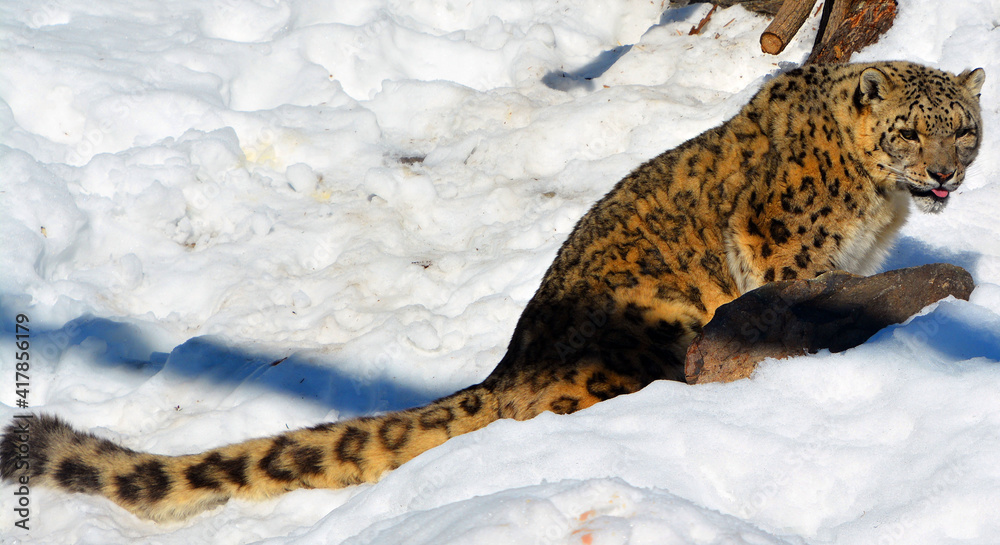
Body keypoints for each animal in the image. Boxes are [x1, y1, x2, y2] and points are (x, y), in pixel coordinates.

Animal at [0, 61, 985, 521]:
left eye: (965, 128)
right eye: (909, 130)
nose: (945, 174)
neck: (879, 206)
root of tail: (505, 369)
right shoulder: (787, 256)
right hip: (646, 324)